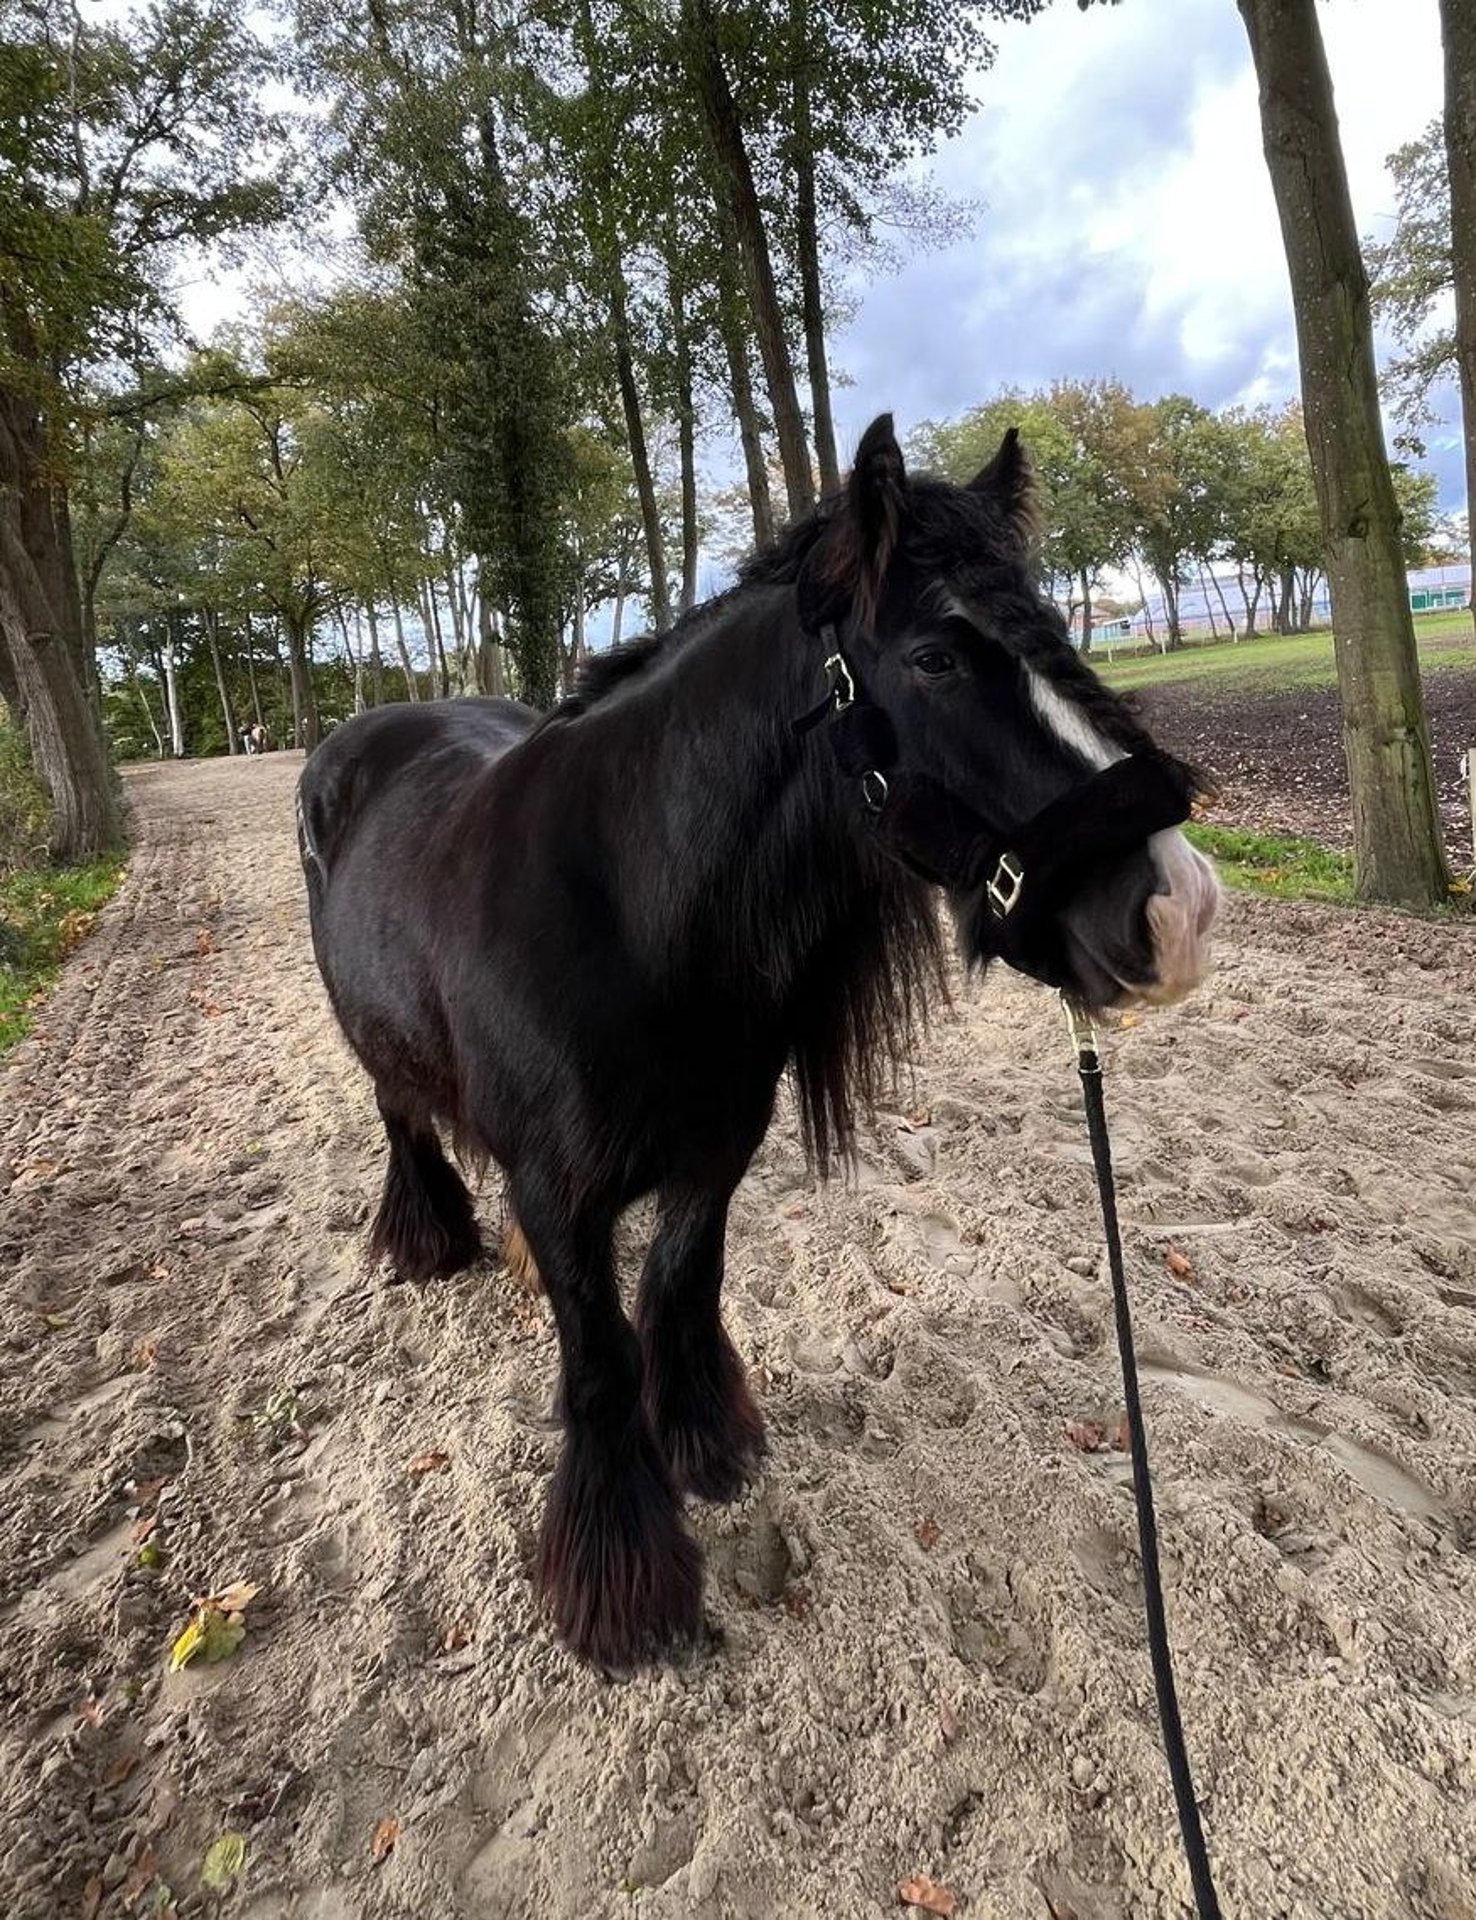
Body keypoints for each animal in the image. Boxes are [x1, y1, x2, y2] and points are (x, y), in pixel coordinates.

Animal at [297, 415, 1220, 1671]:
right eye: (935, 658)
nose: (1181, 907)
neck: (628, 913)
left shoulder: (715, 1149)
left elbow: (680, 1287)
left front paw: (704, 1443)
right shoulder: (557, 1188)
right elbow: (599, 1364)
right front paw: (622, 1585)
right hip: (376, 1045)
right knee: (403, 1117)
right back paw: (427, 1240)